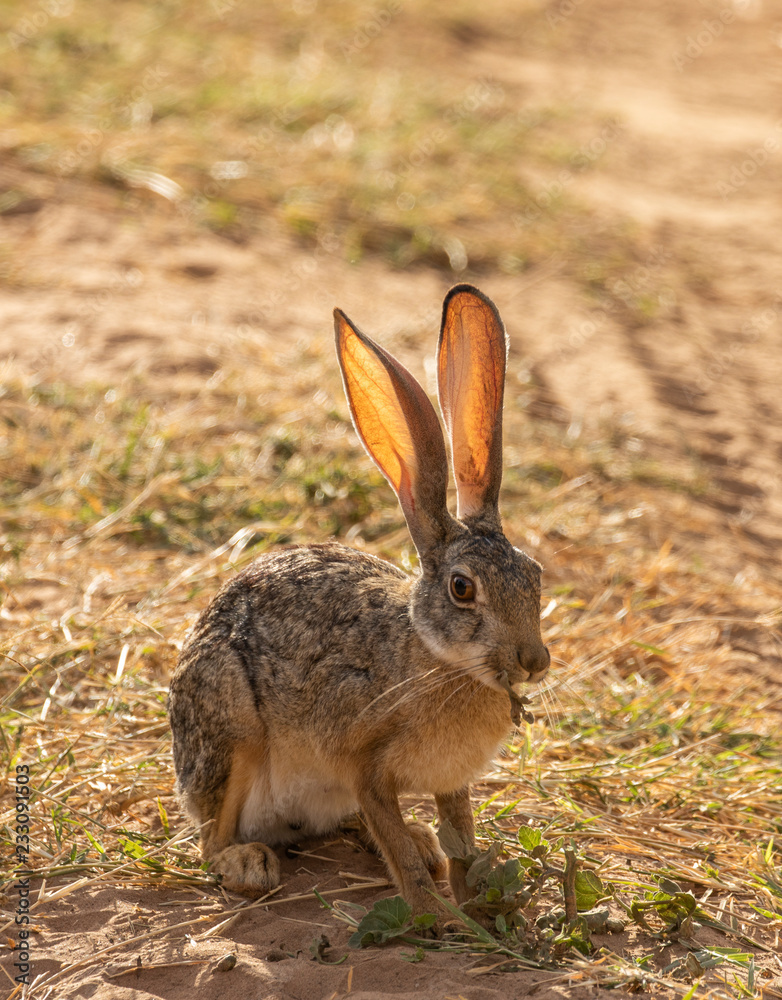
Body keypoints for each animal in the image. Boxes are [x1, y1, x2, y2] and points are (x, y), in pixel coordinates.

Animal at [168, 283, 550, 922]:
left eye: (535, 574)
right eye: (463, 588)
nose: (533, 662)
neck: (437, 659)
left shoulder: (451, 780)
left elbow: (463, 839)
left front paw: (479, 907)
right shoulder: (366, 766)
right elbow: (393, 839)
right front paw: (434, 918)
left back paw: (422, 842)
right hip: (231, 730)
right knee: (210, 838)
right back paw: (247, 864)